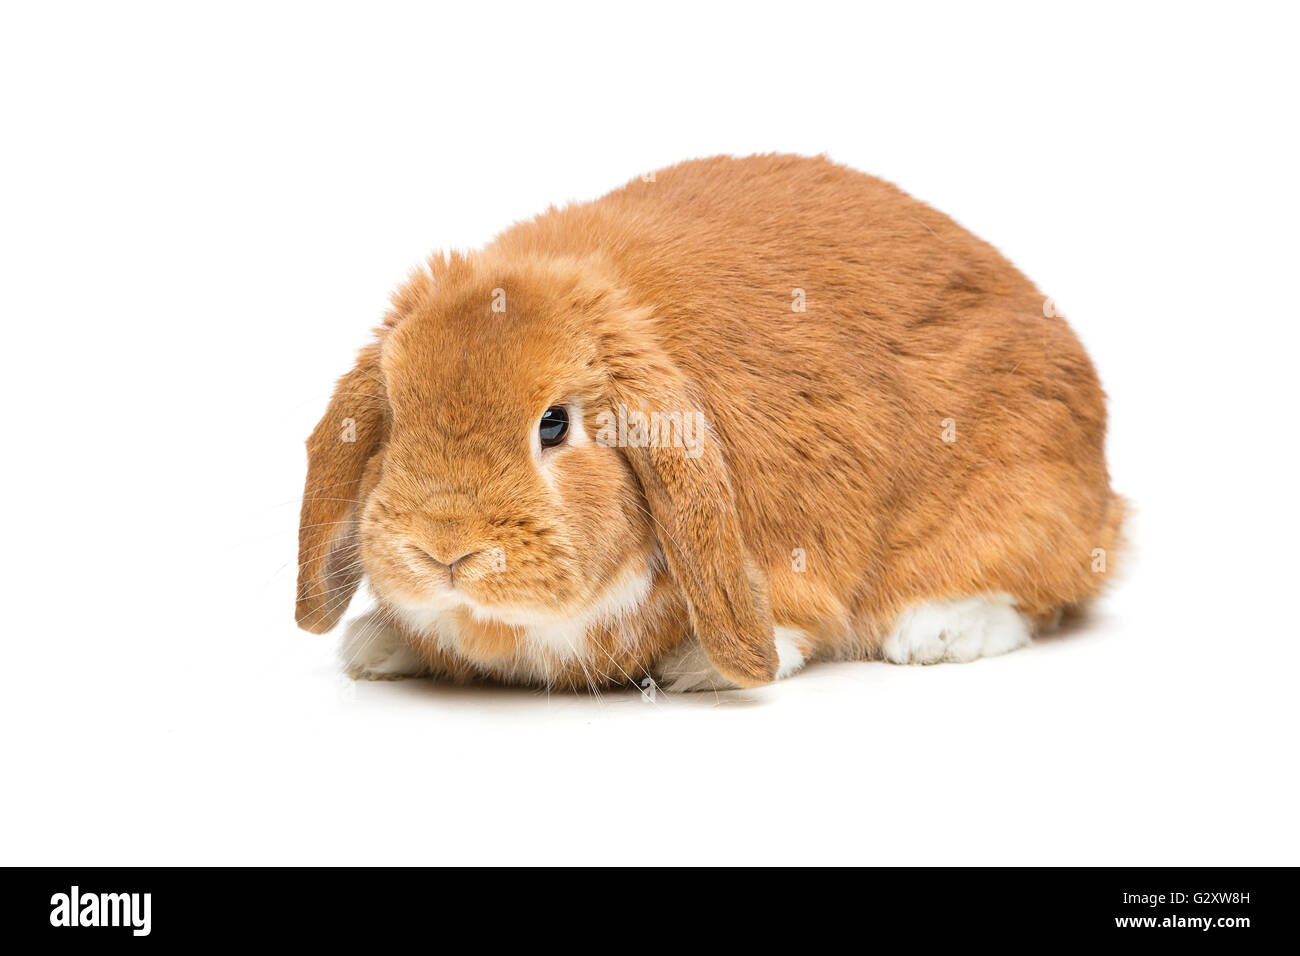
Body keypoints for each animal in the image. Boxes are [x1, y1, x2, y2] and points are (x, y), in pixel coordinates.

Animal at [296, 153, 1125, 692]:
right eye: (395, 417)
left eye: (554, 425)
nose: (444, 550)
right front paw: (375, 646)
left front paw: (701, 666)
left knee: (1034, 595)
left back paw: (934, 633)